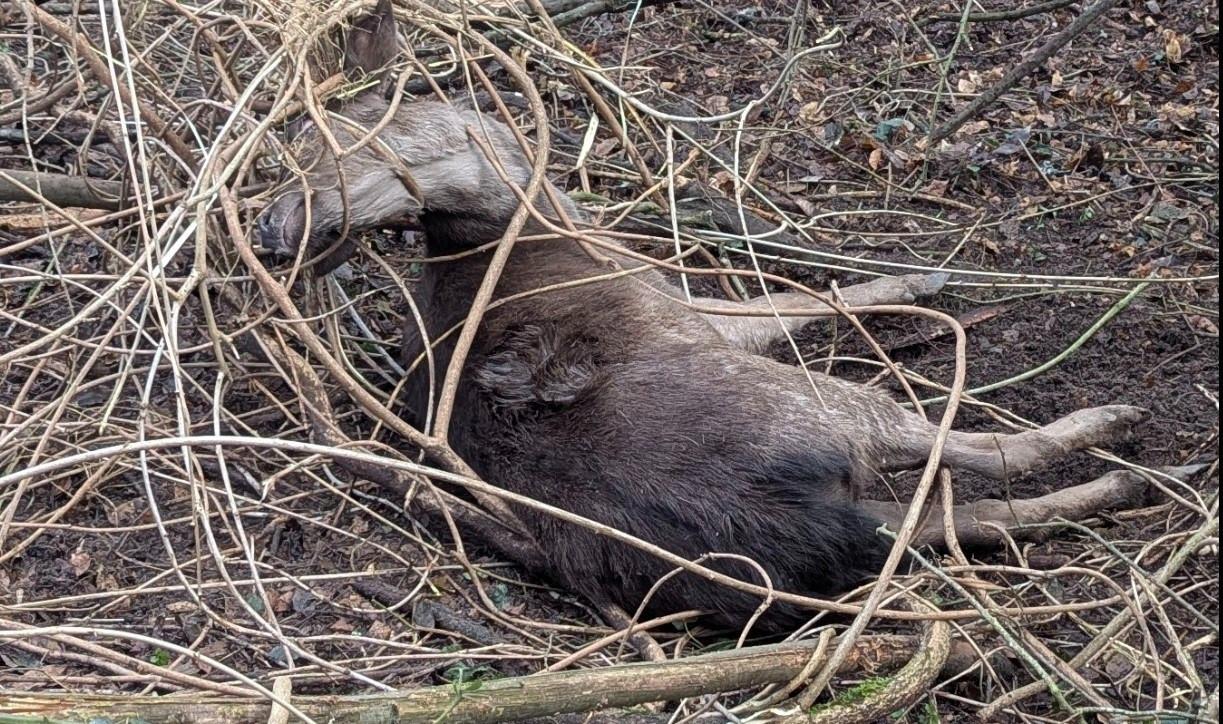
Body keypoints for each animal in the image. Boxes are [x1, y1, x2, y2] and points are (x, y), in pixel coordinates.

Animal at [255, 0, 1165, 630]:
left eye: (310, 137)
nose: (271, 228)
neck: (517, 211)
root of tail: (780, 527)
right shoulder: (683, 302)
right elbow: (796, 300)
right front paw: (918, 279)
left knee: (954, 521)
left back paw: (1115, 485)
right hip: (816, 405)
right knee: (979, 458)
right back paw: (1117, 437)